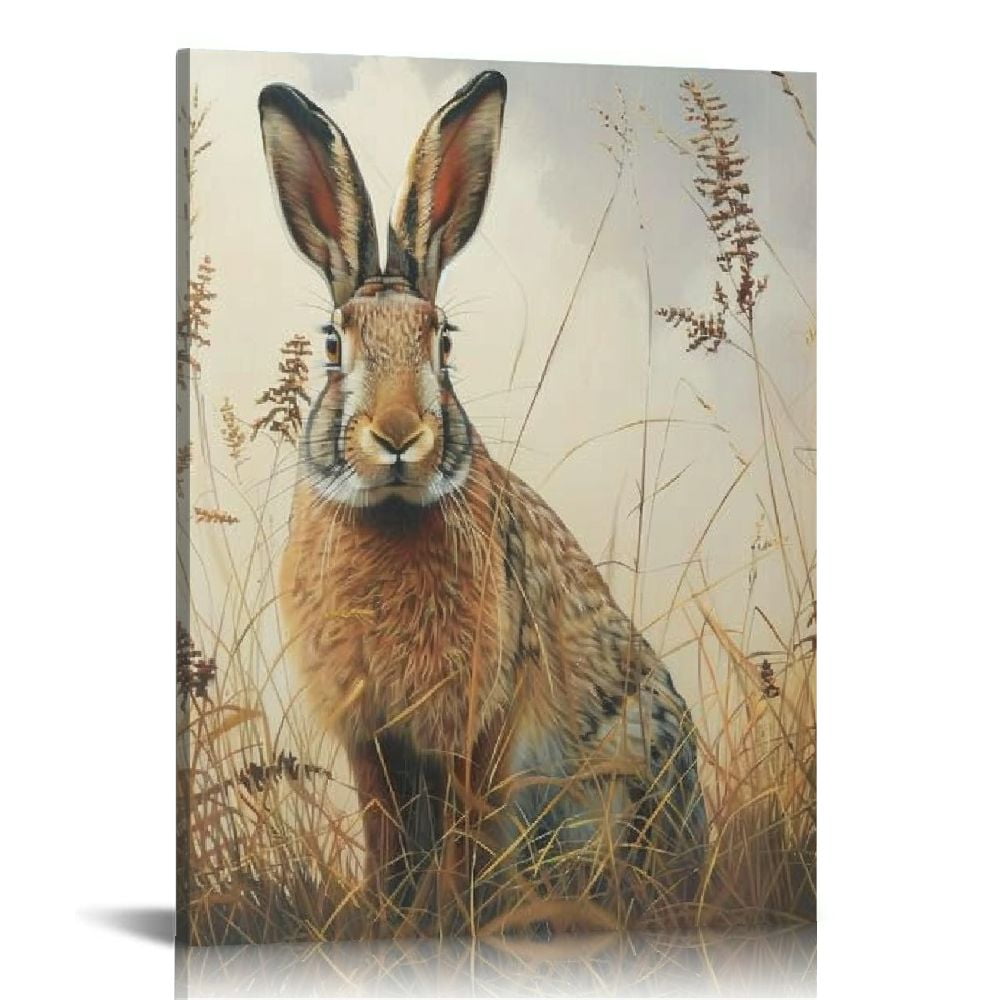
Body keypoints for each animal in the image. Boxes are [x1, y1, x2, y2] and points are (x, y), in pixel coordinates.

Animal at [258, 70, 707, 909]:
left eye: (444, 341)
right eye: (334, 344)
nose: (399, 434)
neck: (393, 516)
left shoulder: (480, 722)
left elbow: (468, 832)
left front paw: (459, 913)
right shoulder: (372, 736)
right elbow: (386, 837)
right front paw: (389, 913)